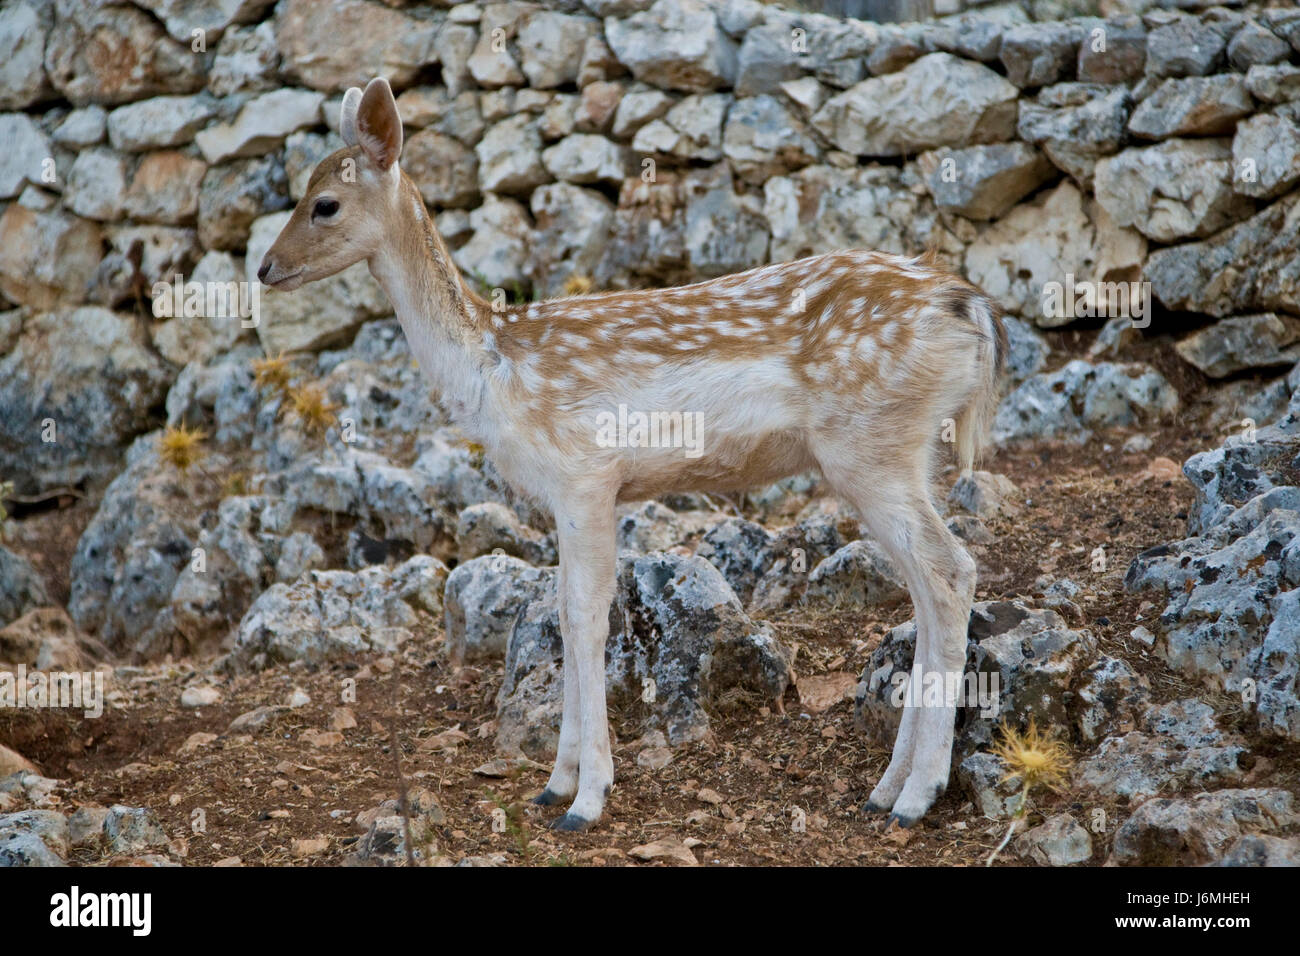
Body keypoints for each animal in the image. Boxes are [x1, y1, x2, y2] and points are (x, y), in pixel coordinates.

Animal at [258, 77, 1007, 832]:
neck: (493, 370)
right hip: (903, 451)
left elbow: (587, 616)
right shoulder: (567, 495)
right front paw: (554, 783)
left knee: (950, 571)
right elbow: (560, 613)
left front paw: (586, 799)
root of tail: (966, 305)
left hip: (869, 444)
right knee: (927, 586)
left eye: (325, 203)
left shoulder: (585, 474)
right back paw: (887, 787)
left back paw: (916, 795)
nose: (265, 268)